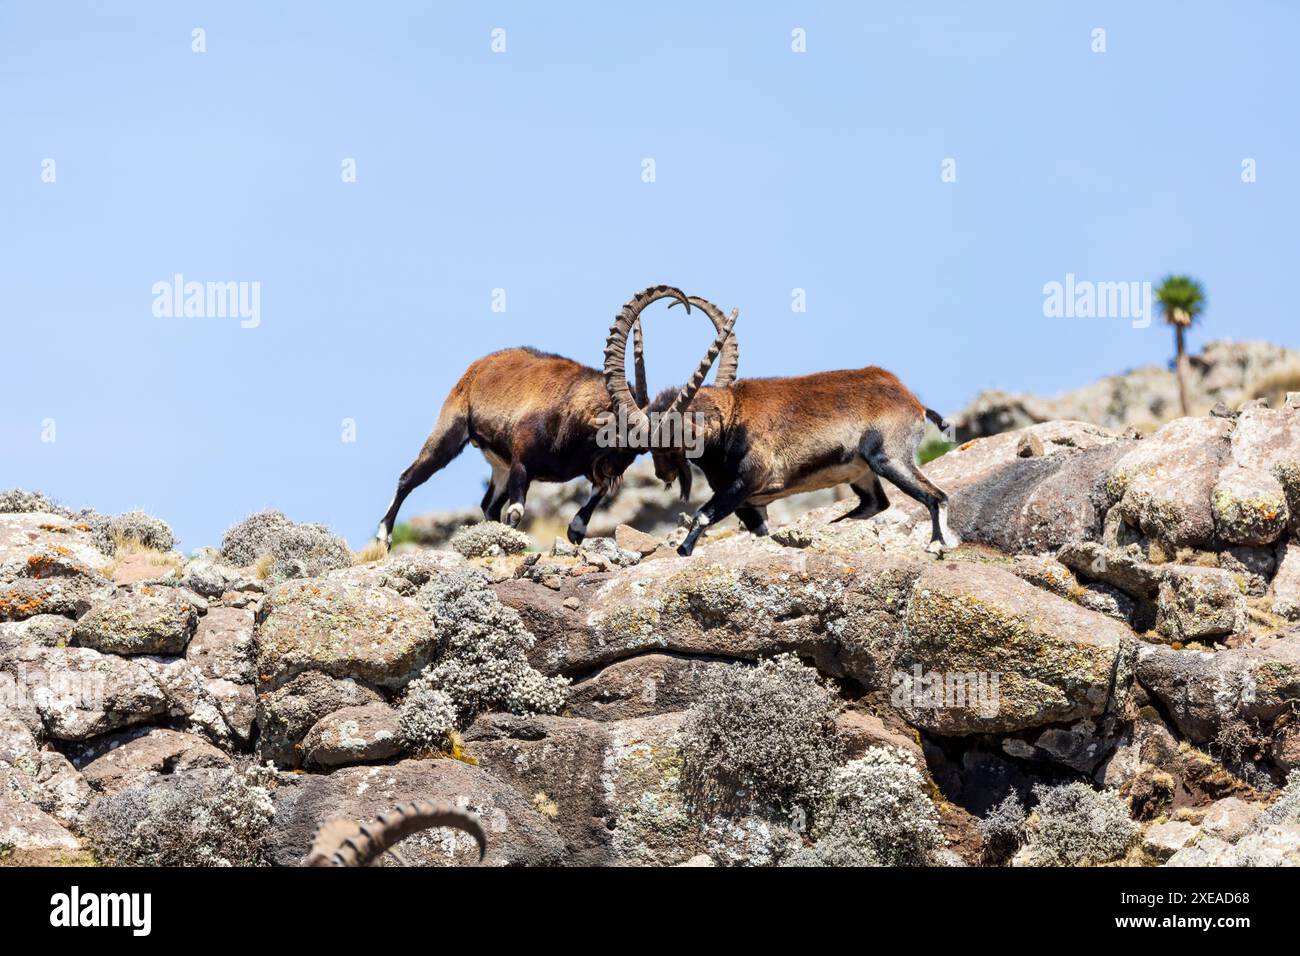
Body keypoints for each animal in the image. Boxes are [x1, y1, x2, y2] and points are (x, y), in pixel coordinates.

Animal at [375, 286, 738, 548]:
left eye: (639, 450)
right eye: (621, 433)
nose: (668, 476)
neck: (571, 418)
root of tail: (479, 366)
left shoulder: (590, 468)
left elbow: (587, 509)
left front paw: (575, 531)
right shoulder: (522, 465)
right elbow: (516, 514)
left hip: (499, 467)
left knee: (488, 505)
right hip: (451, 431)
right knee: (409, 477)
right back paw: (384, 535)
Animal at [603, 298, 959, 557]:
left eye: (668, 439)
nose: (663, 474)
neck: (732, 422)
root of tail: (912, 402)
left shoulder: (746, 483)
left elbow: (703, 514)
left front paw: (683, 550)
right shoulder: (750, 505)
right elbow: (759, 531)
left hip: (889, 458)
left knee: (936, 497)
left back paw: (936, 544)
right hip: (861, 474)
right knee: (876, 503)